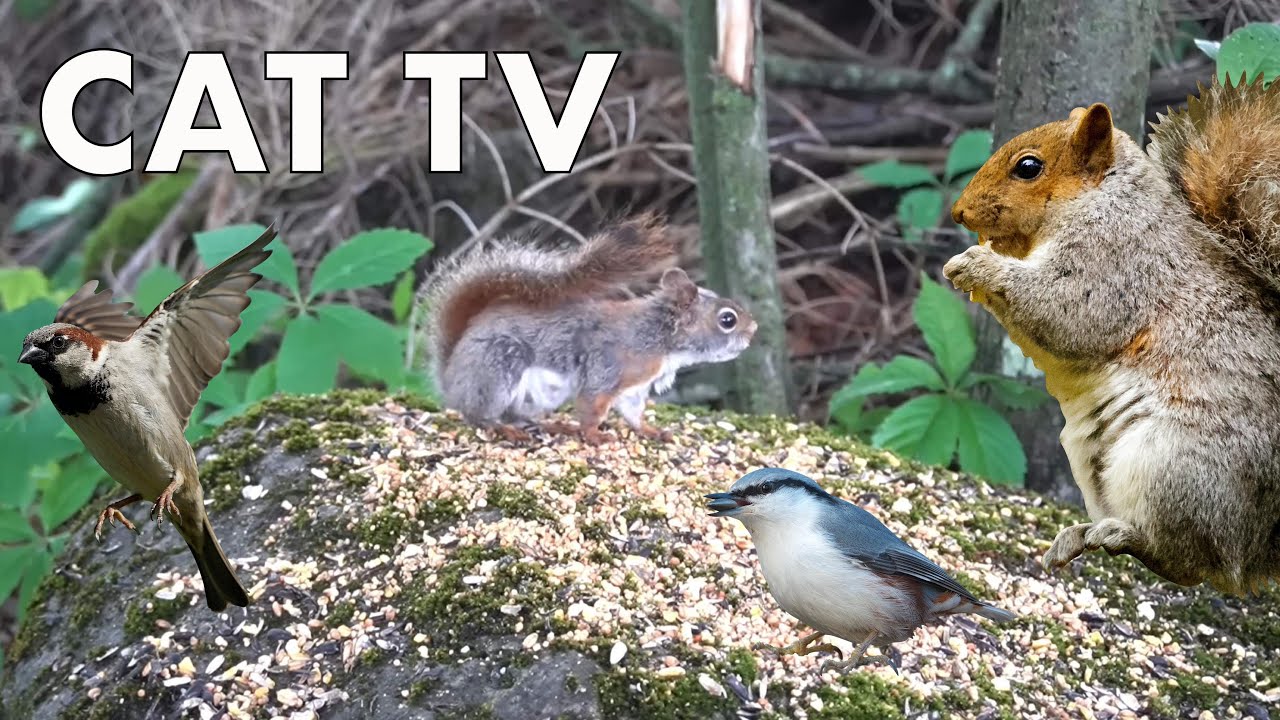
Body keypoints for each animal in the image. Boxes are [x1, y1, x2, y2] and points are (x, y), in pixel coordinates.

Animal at [420, 213, 758, 444]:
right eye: (727, 320)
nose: (754, 328)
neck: (659, 337)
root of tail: (450, 375)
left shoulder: (634, 388)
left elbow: (633, 413)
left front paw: (652, 430)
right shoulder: (608, 368)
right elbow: (592, 406)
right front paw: (595, 435)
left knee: (515, 414)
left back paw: (551, 425)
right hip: (498, 367)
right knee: (479, 415)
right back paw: (503, 428)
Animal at [943, 74, 1280, 595]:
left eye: (1028, 167)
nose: (959, 212)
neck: (1104, 197)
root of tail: (1261, 548)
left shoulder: (1118, 263)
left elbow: (1067, 313)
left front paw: (978, 264)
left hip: (1170, 467)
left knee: (1196, 563)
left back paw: (1123, 536)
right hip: (1092, 456)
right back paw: (1080, 535)